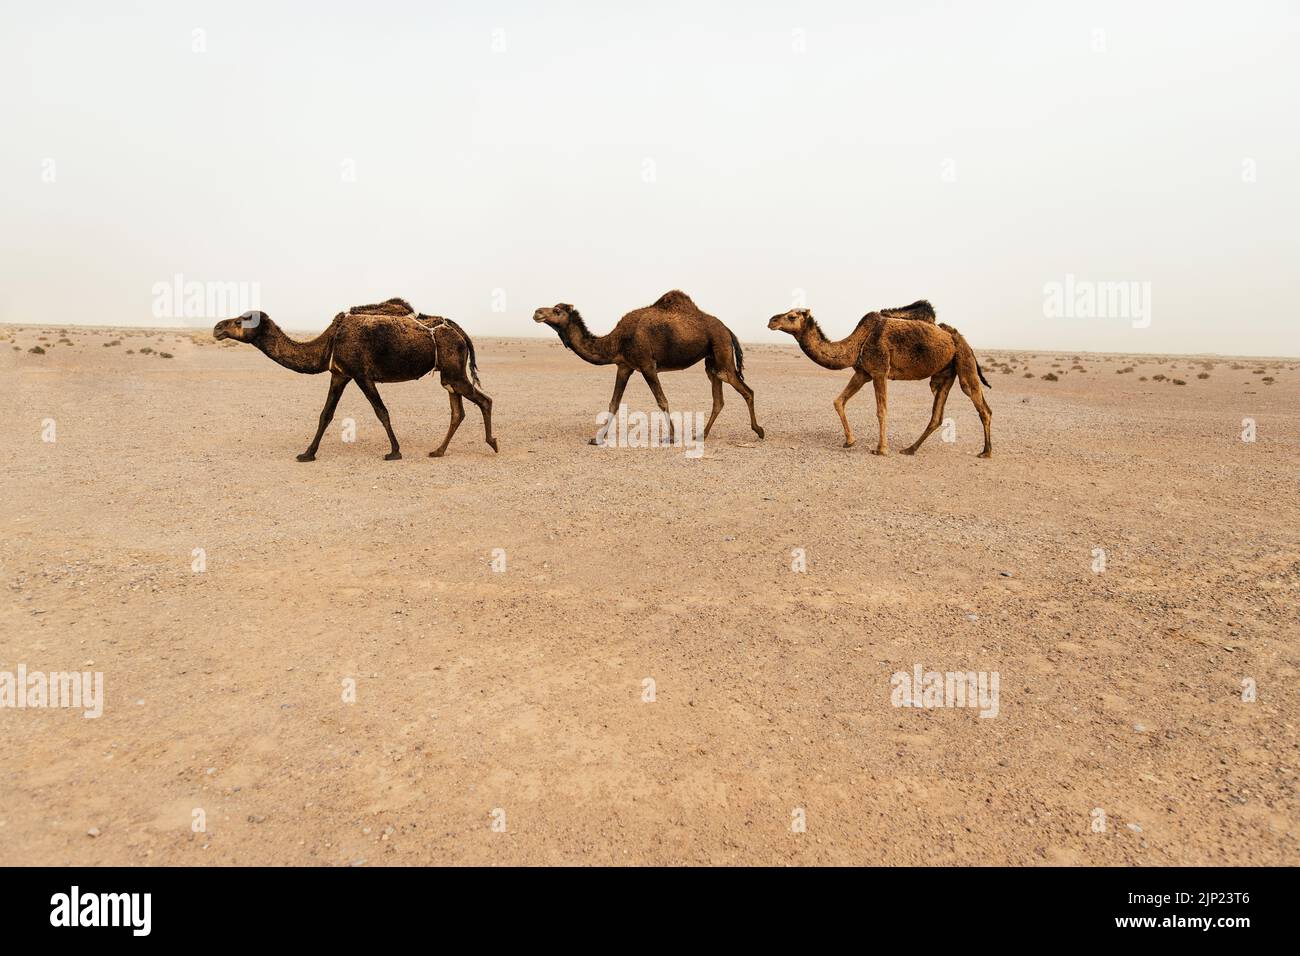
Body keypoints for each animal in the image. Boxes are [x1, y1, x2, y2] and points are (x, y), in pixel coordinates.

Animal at [213, 298, 497, 461]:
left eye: (241, 320)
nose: (217, 327)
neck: (329, 340)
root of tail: (458, 330)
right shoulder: (340, 373)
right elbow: (325, 414)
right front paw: (307, 453)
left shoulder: (361, 374)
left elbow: (381, 411)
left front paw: (394, 452)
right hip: (449, 374)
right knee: (457, 411)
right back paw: (438, 451)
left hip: (454, 370)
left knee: (484, 400)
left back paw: (492, 443)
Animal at [533, 290, 764, 444]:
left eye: (557, 310)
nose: (537, 312)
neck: (615, 341)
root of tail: (727, 329)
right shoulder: (624, 366)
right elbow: (614, 403)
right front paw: (597, 438)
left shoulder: (646, 365)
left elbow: (662, 401)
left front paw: (671, 437)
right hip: (712, 361)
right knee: (719, 398)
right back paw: (701, 435)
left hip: (721, 351)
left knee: (746, 390)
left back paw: (759, 431)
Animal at [767, 302, 992, 457]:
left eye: (792, 316)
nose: (771, 320)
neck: (857, 342)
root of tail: (959, 336)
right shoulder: (862, 373)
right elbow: (838, 401)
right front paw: (850, 441)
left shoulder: (879, 371)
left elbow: (881, 410)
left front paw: (881, 449)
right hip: (945, 373)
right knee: (937, 416)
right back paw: (910, 449)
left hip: (964, 359)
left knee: (981, 405)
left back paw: (986, 452)